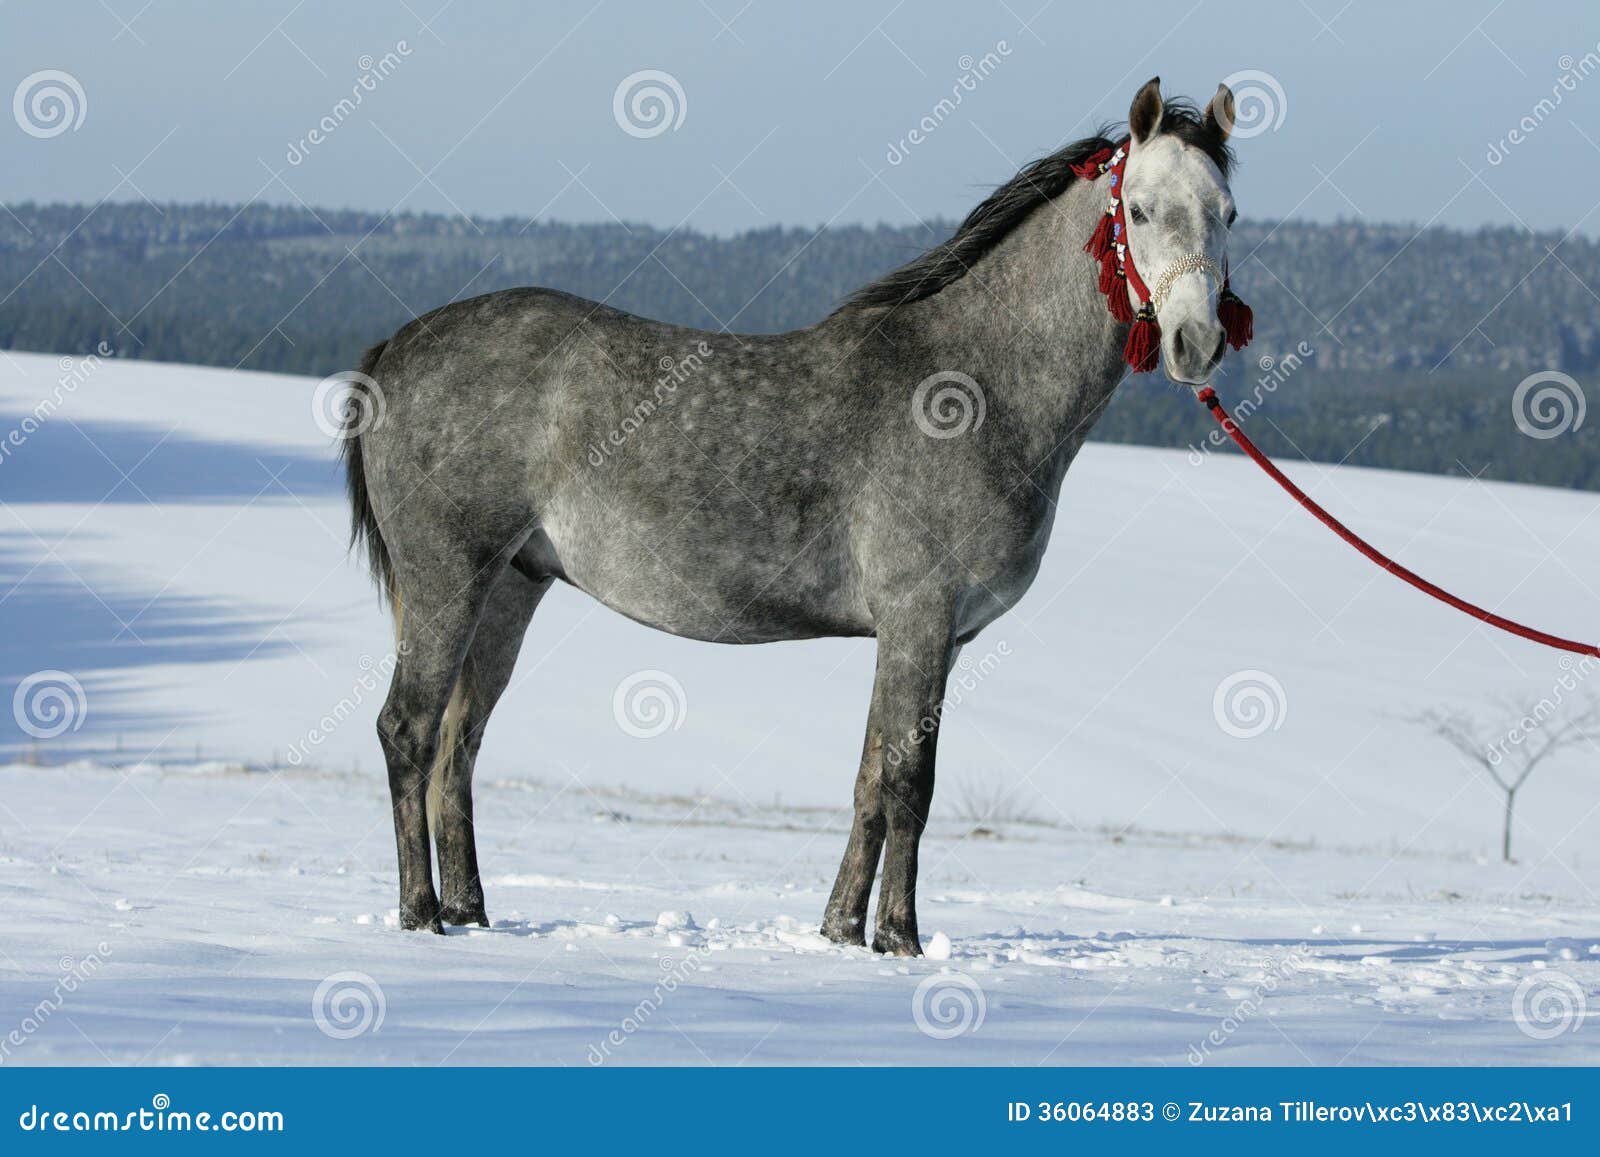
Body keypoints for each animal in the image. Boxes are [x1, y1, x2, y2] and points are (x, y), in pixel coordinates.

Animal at [341, 77, 1244, 955]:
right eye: (1139, 210)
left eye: (1228, 212)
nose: (1195, 343)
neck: (976, 384)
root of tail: (396, 347)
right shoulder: (920, 618)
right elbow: (909, 784)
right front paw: (901, 938)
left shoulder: (929, 635)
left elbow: (871, 780)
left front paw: (841, 930)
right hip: (448, 578)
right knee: (408, 731)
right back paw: (421, 914)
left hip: (511, 586)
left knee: (458, 742)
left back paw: (471, 912)